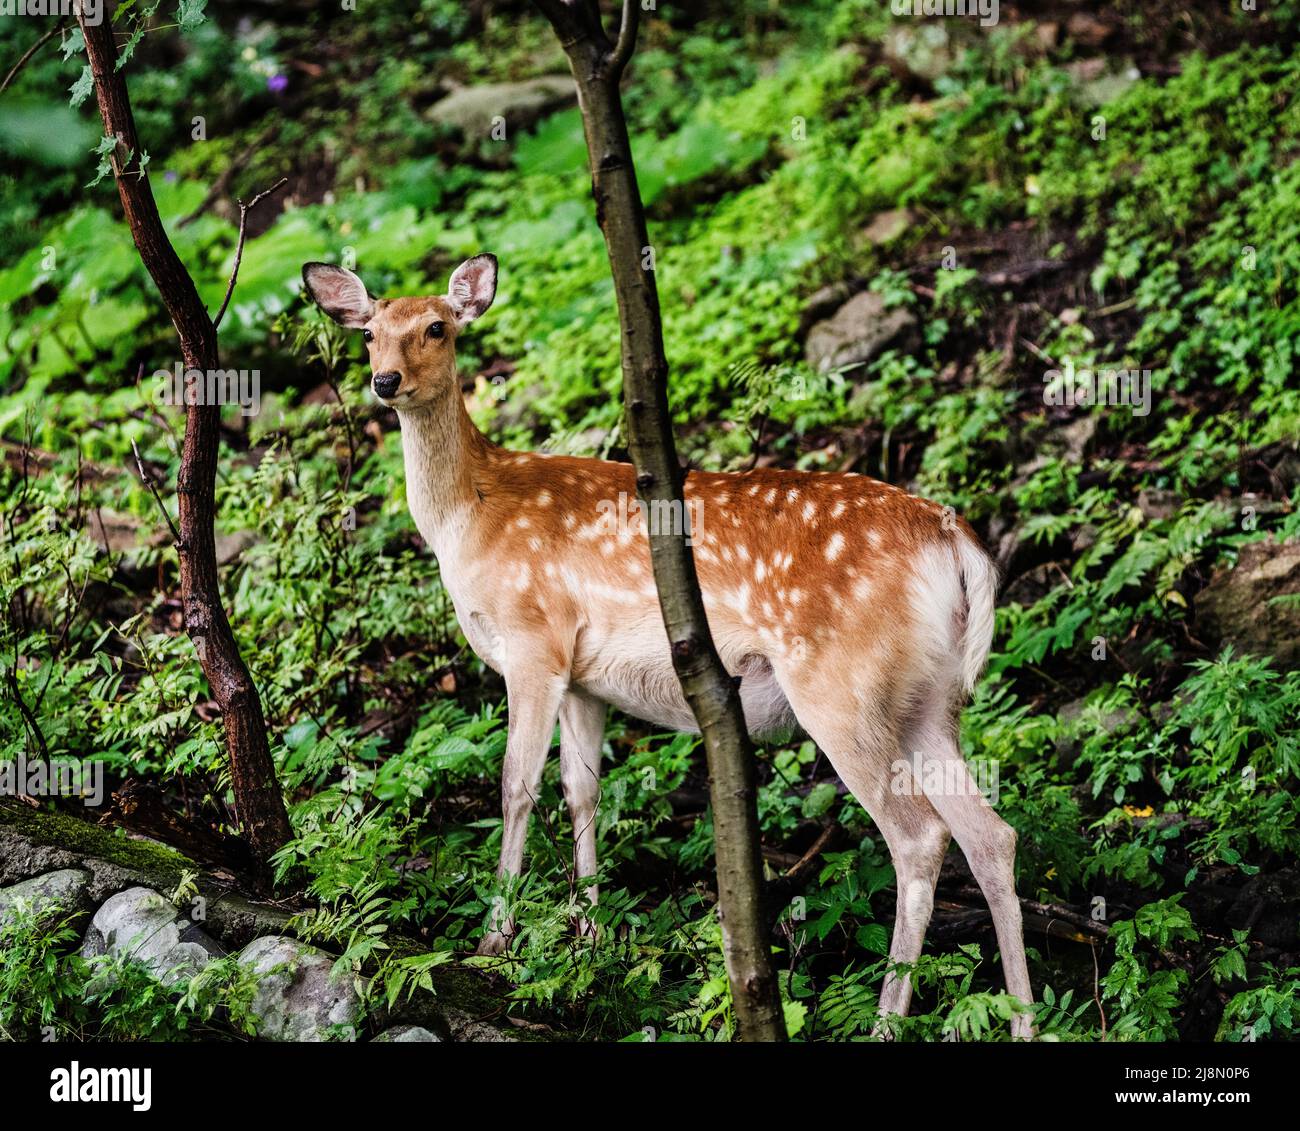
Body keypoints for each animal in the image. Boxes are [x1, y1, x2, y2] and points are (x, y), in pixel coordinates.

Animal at [303, 253, 1034, 1038]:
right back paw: (1025, 1019)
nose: (385, 381)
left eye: (437, 327)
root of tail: (956, 544)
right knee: (991, 835)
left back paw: (885, 1021)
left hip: (839, 681)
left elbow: (515, 786)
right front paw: (588, 938)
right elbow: (583, 791)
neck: (470, 514)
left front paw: (495, 941)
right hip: (927, 696)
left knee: (920, 837)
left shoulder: (533, 639)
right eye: (369, 332)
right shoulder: (583, 677)